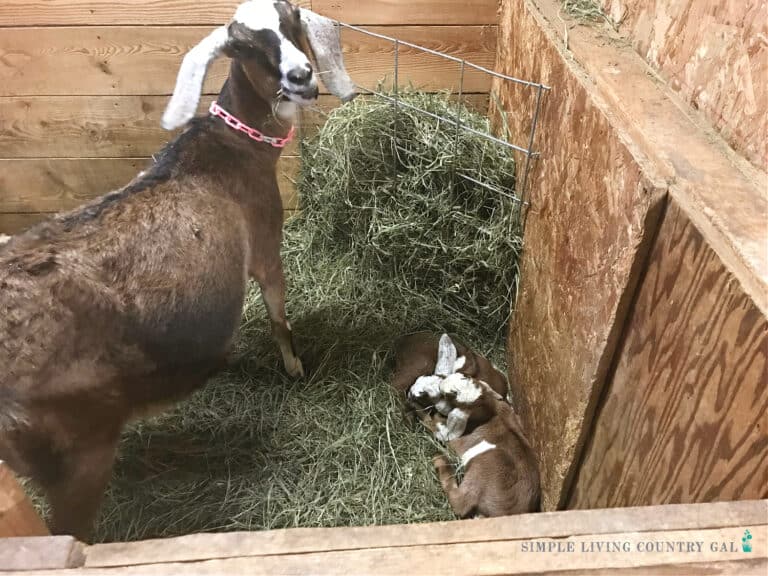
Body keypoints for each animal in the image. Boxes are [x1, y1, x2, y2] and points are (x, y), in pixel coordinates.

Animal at [0, 0, 355, 540]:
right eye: (245, 45)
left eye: (291, 18)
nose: (300, 75)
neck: (226, 149)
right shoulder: (267, 245)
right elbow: (278, 314)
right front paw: (295, 367)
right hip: (79, 449)